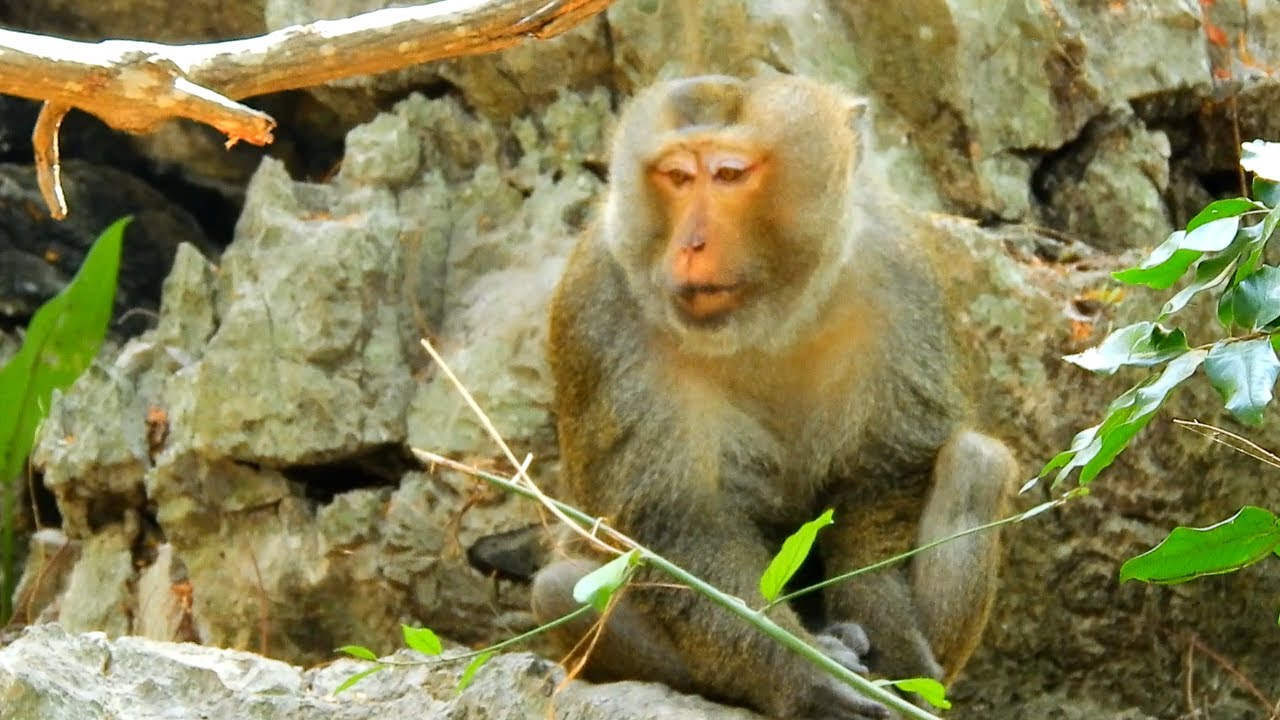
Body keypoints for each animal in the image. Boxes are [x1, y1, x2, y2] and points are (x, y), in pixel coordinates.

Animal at [530, 74, 1017, 720]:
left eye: (729, 175)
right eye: (677, 176)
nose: (691, 244)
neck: (769, 318)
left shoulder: (901, 274)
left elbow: (884, 478)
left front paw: (894, 652)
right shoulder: (599, 307)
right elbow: (681, 523)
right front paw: (807, 676)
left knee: (977, 465)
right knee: (559, 591)